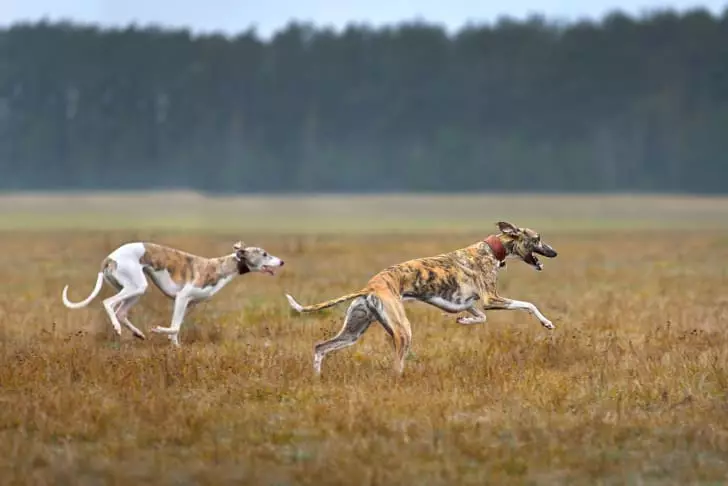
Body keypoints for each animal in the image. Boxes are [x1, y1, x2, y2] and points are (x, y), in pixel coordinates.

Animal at [62, 239, 284, 346]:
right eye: (264, 254)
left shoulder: (190, 304)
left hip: (135, 290)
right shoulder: (182, 298)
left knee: (121, 311)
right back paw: (117, 328)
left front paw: (174, 346)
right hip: (135, 286)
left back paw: (137, 333)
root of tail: (109, 258)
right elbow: (175, 326)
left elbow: (177, 327)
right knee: (108, 303)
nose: (282, 262)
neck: (218, 267)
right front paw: (159, 330)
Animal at [284, 221, 556, 376]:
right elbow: (528, 305)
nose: (554, 253)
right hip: (403, 331)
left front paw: (465, 322)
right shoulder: (492, 299)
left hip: (354, 331)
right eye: (537, 238)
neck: (490, 249)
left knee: (320, 347)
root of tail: (370, 287)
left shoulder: (467, 304)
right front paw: (547, 323)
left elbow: (479, 318)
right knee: (396, 366)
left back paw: (317, 377)